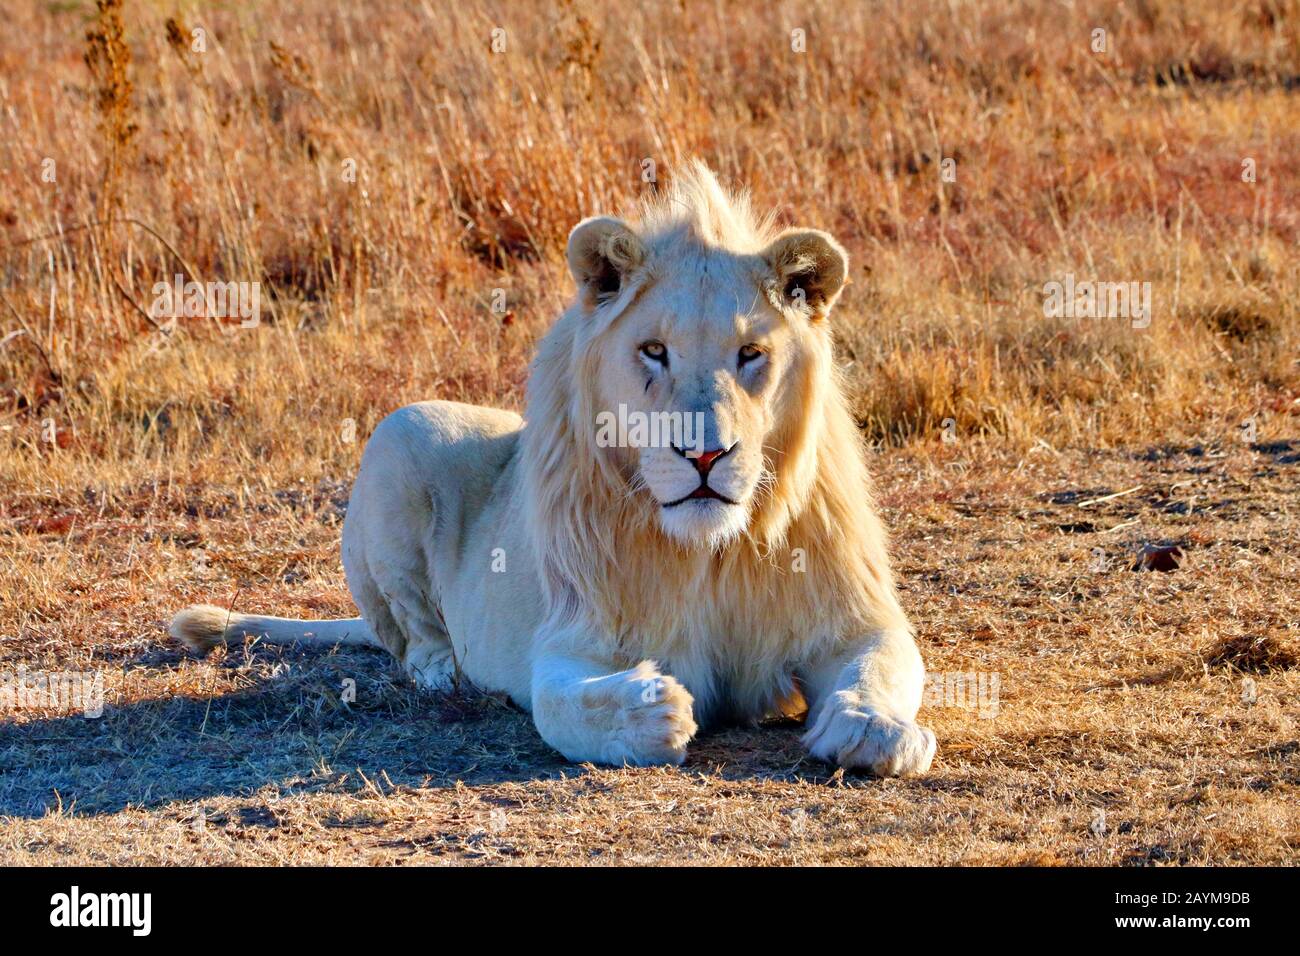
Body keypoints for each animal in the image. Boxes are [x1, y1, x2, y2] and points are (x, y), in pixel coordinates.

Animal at [170, 161, 937, 775]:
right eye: (653, 350)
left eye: (751, 353)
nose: (704, 454)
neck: (704, 553)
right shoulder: (574, 634)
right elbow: (560, 703)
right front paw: (650, 709)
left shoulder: (851, 618)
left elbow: (886, 661)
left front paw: (874, 729)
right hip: (400, 431)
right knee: (409, 635)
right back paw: (445, 670)